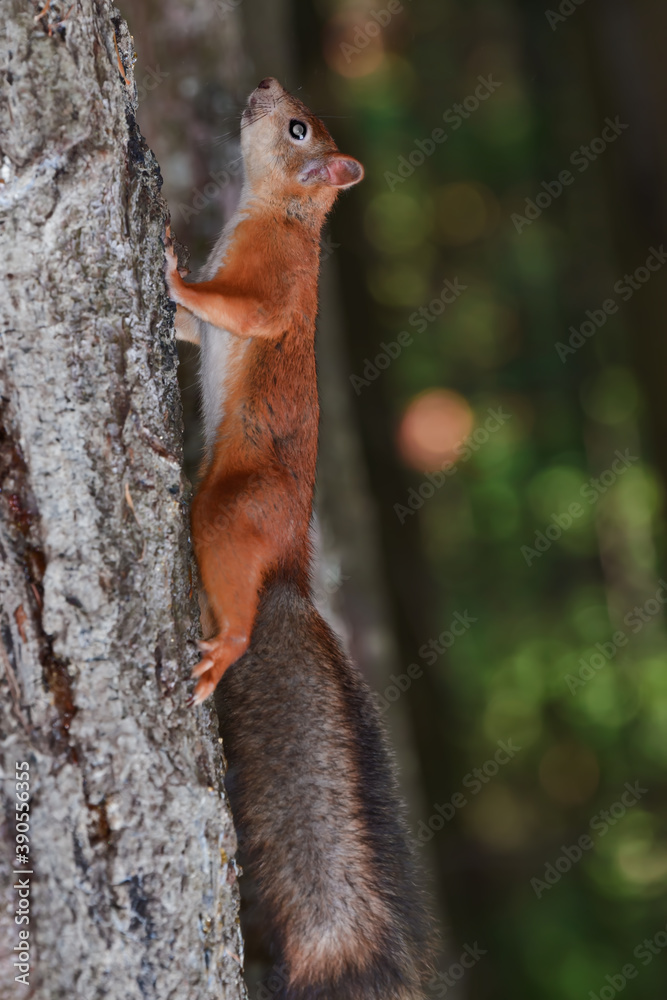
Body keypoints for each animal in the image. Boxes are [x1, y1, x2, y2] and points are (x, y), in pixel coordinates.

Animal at [165, 77, 432, 1000]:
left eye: (294, 129)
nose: (260, 88)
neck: (280, 212)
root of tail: (288, 571)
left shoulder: (272, 282)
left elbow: (236, 309)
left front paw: (169, 271)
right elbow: (195, 328)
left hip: (226, 516)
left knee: (241, 621)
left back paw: (222, 651)